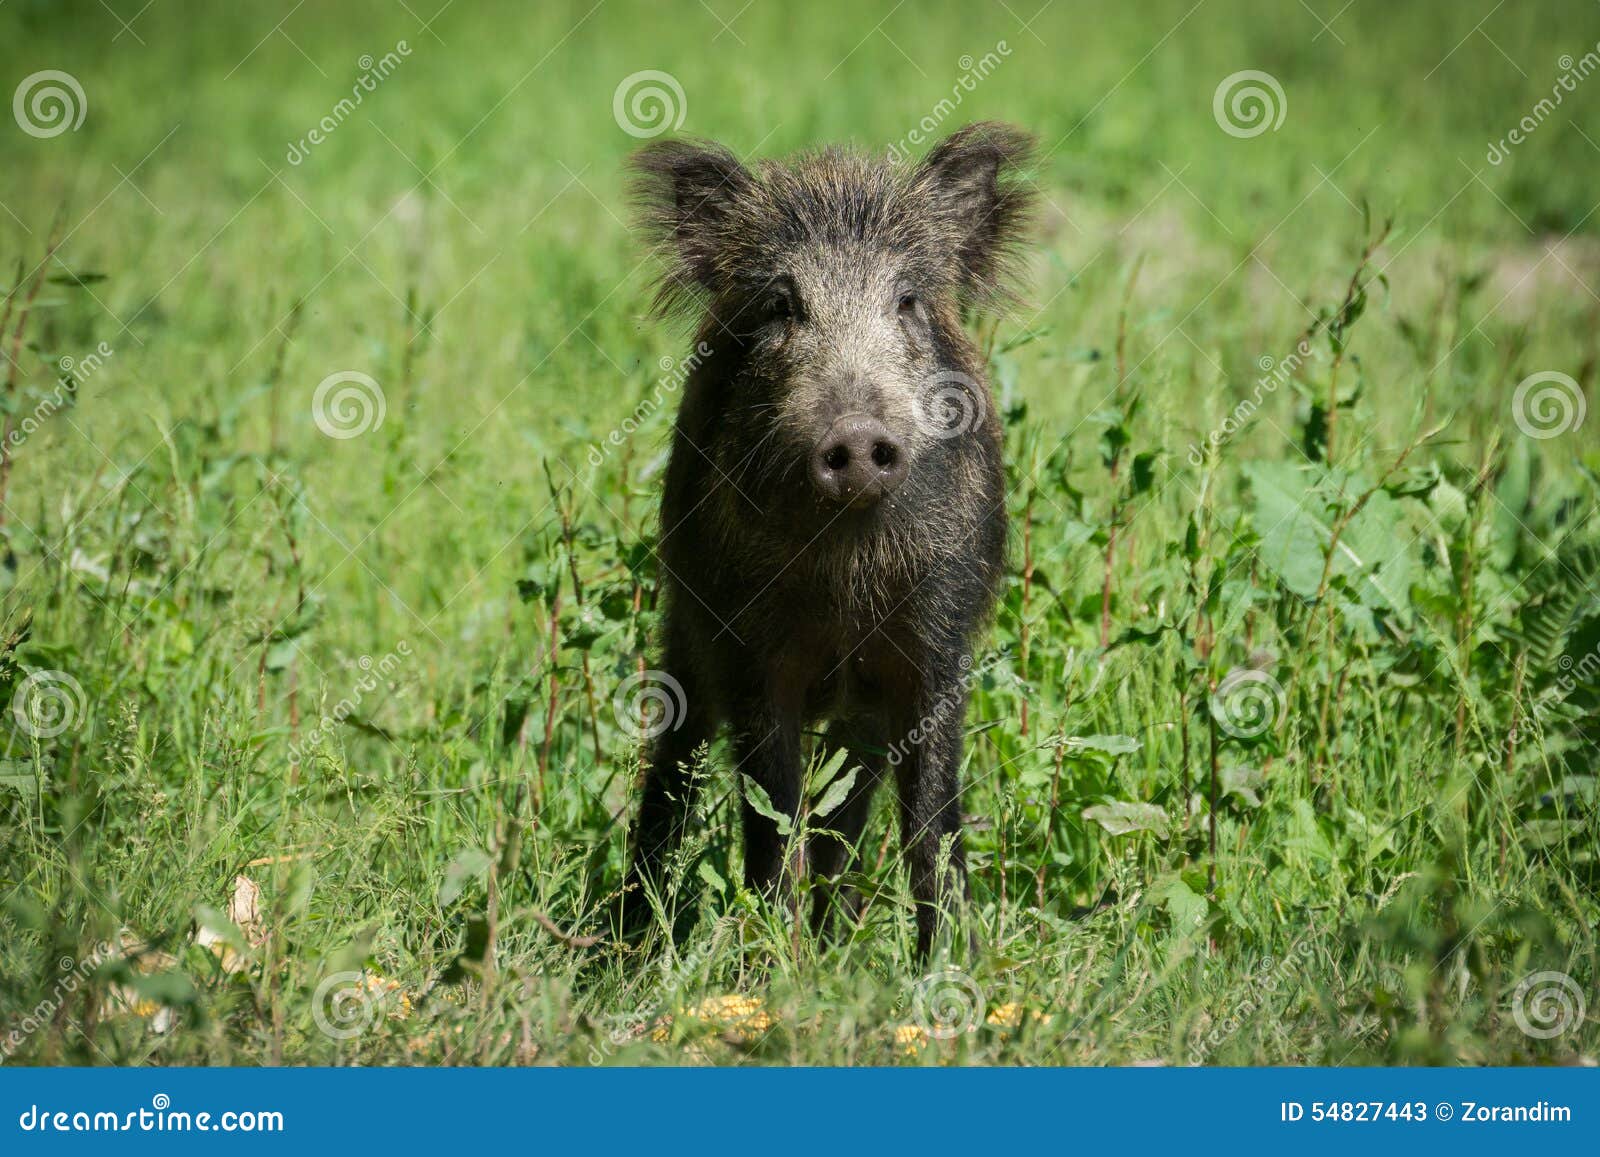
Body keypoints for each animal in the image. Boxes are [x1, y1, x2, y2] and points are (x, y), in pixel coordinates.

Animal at [619, 122, 1034, 959]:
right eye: (783, 304)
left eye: (906, 300)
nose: (856, 436)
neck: (847, 580)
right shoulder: (748, 648)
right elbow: (771, 819)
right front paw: (777, 967)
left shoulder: (936, 648)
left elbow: (929, 824)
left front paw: (949, 967)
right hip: (686, 629)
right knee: (673, 776)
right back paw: (630, 937)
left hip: (861, 715)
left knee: (846, 812)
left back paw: (838, 940)